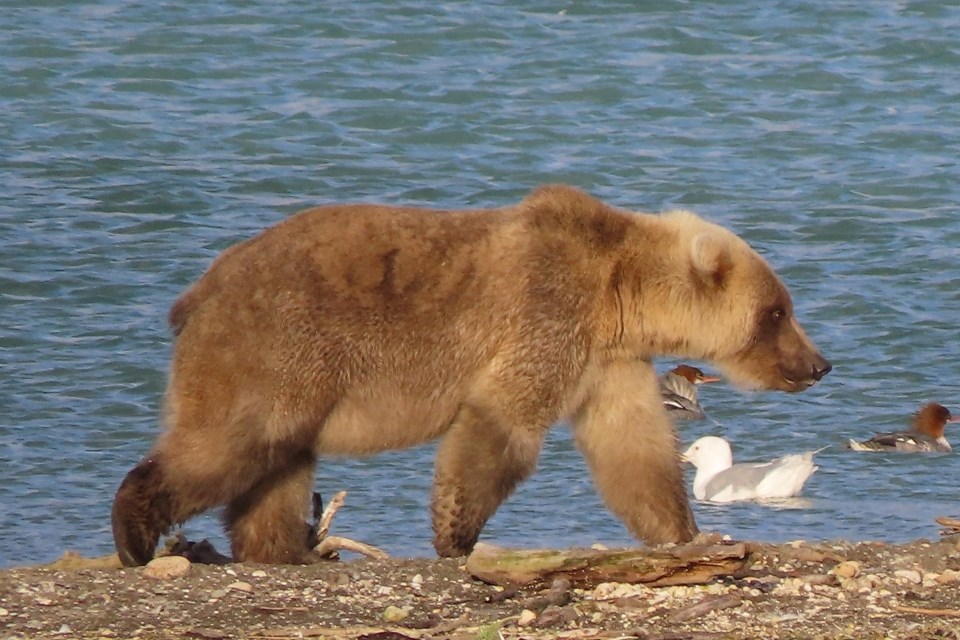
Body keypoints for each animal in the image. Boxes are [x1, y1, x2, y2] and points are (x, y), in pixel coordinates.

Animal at [111, 184, 831, 566]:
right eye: (778, 311)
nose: (819, 364)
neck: (619, 293)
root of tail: (198, 291)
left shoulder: (607, 360)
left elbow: (633, 448)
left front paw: (683, 530)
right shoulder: (545, 316)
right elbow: (501, 426)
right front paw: (457, 535)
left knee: (278, 465)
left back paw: (283, 550)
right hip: (276, 349)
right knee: (231, 440)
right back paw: (136, 530)